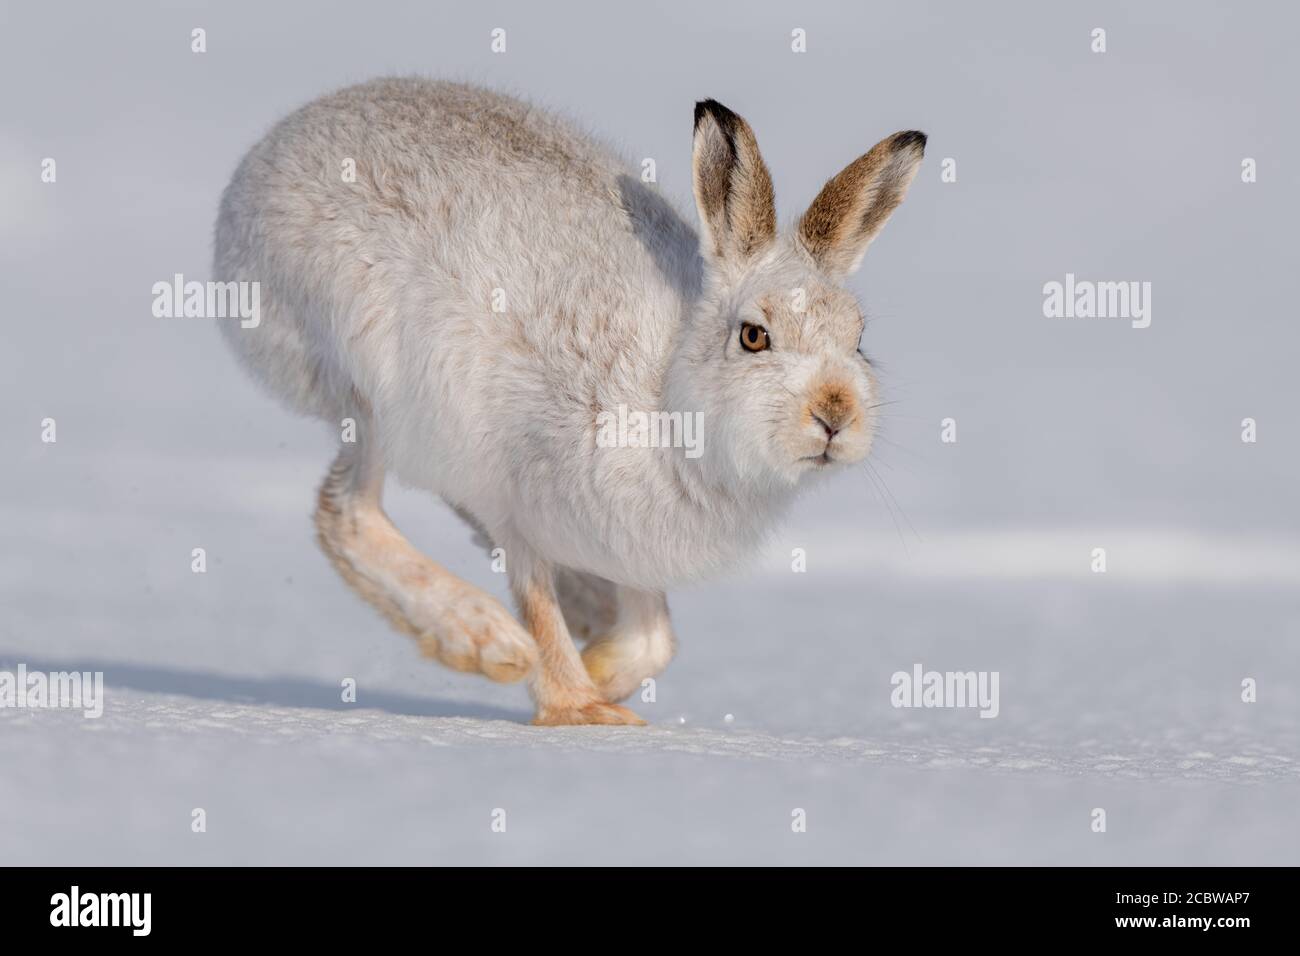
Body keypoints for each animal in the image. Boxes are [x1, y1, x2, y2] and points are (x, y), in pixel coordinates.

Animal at [214, 77, 925, 726]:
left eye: (859, 339)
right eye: (754, 336)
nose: (834, 414)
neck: (669, 399)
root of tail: (257, 173)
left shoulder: (627, 540)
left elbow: (655, 639)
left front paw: (604, 671)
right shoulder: (522, 494)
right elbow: (538, 603)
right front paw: (579, 707)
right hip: (369, 390)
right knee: (345, 512)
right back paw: (483, 639)